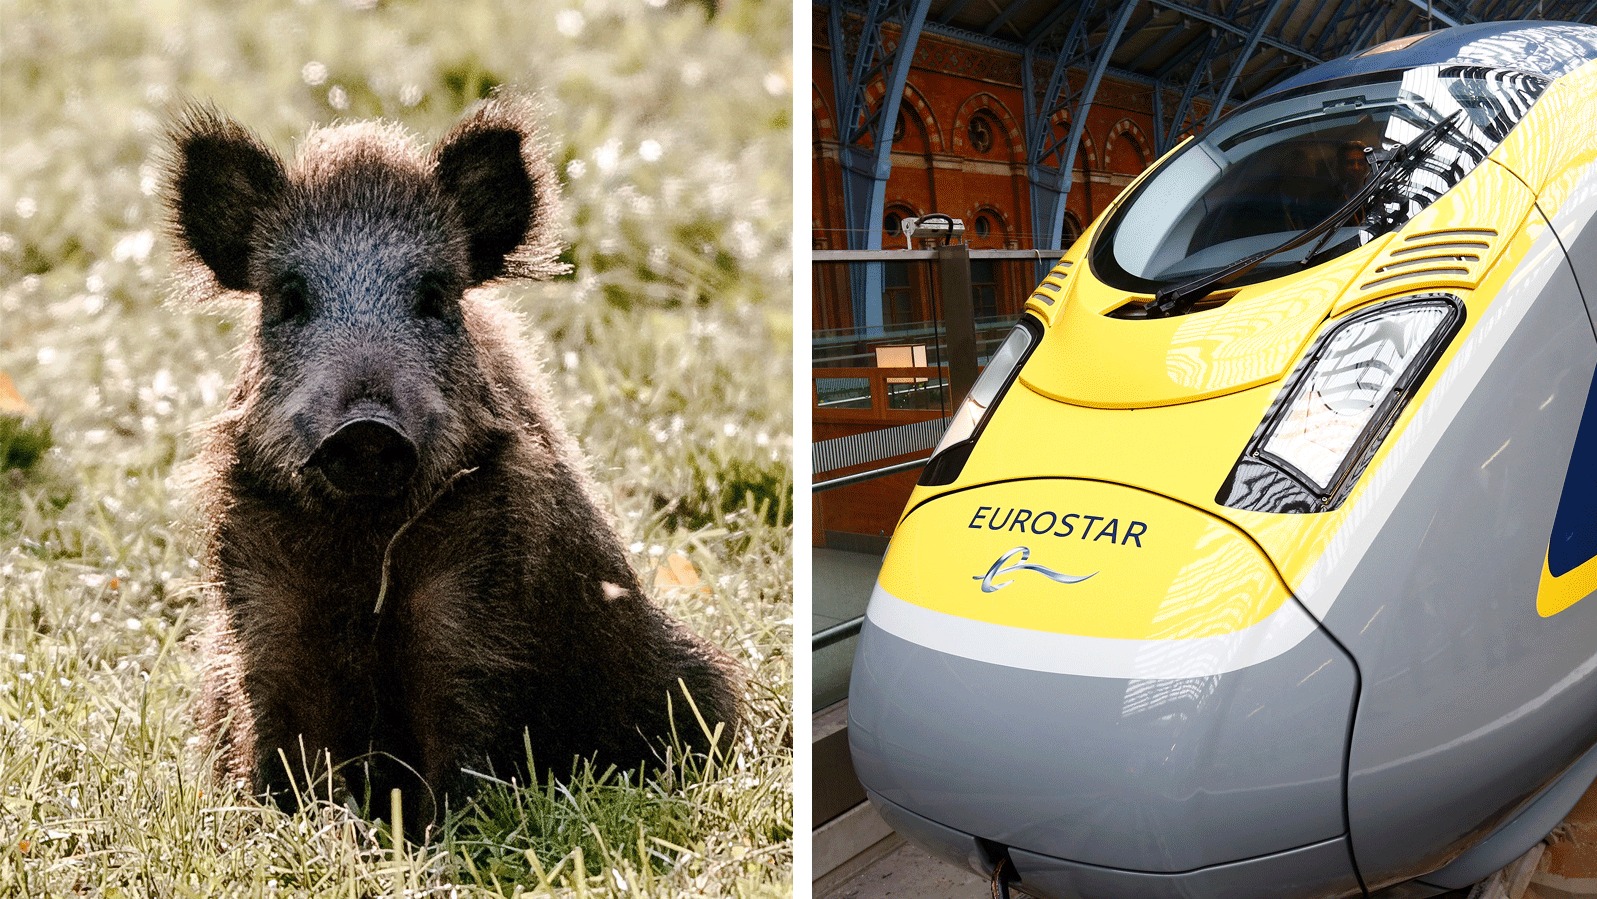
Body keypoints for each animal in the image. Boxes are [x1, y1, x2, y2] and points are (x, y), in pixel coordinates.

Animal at [166, 98, 743, 824]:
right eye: (288, 299)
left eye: (434, 295)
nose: (367, 428)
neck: (365, 547)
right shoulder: (264, 611)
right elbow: (279, 741)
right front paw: (287, 824)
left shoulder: (472, 612)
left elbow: (459, 736)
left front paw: (441, 829)